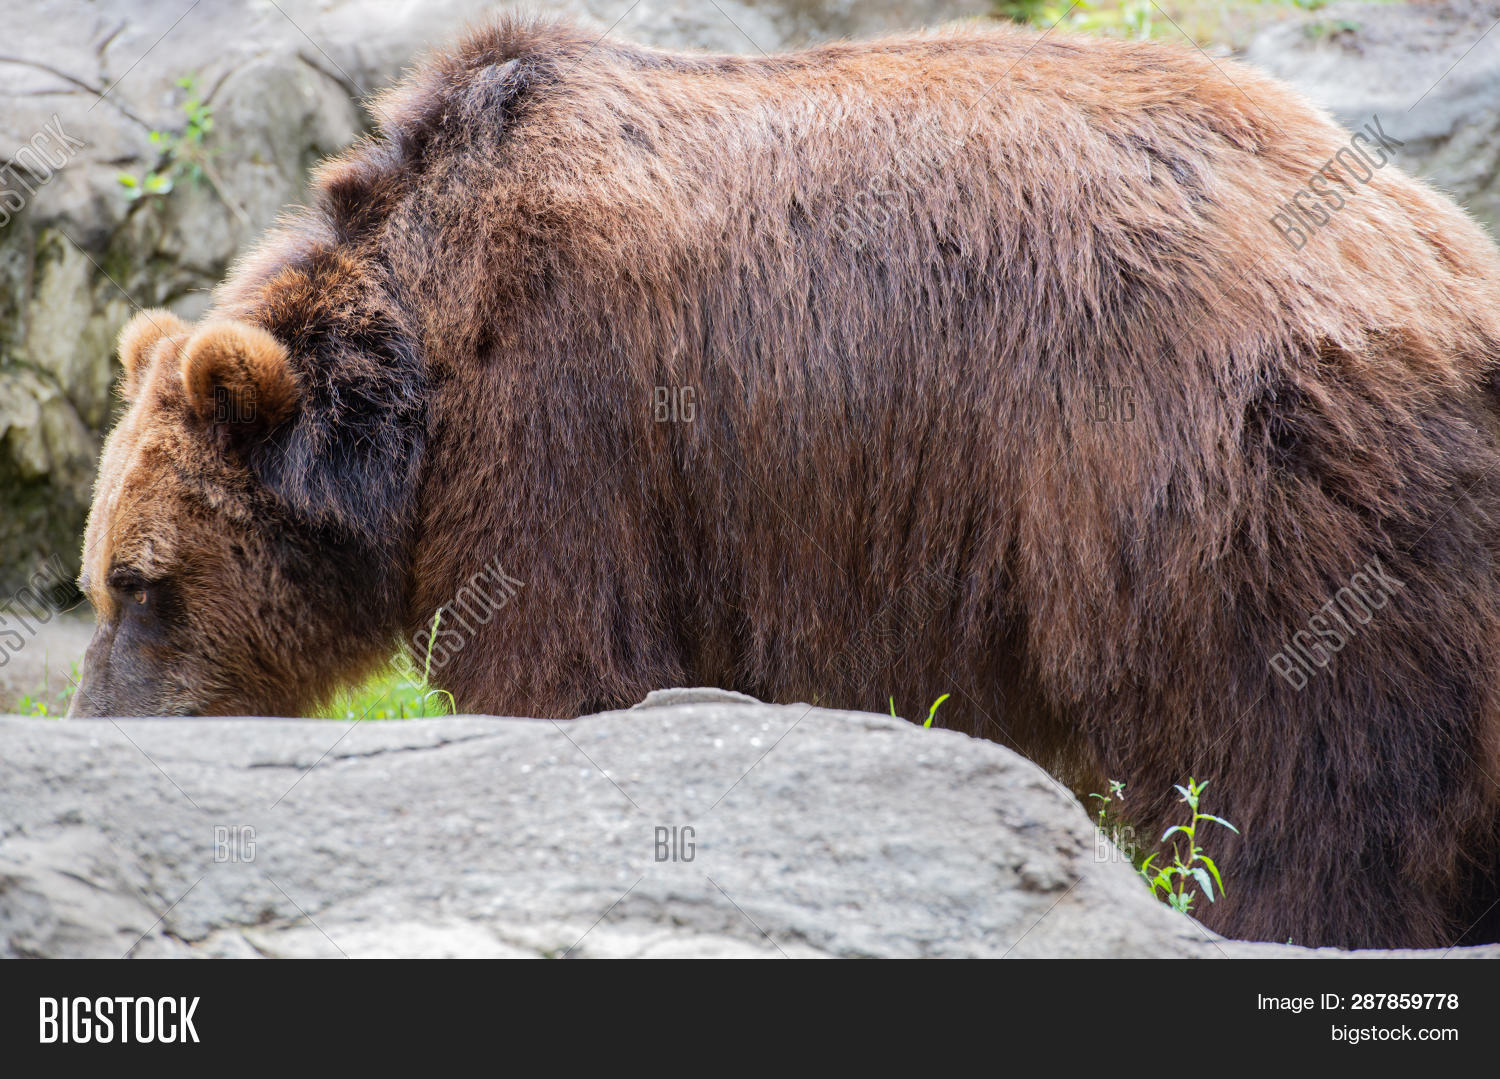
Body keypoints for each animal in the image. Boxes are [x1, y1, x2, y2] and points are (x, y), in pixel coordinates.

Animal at [69, 16, 1500, 950]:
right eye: (97, 580)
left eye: (140, 582)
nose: (97, 726)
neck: (416, 372)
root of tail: (1448, 261)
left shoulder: (568, 417)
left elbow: (556, 660)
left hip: (1223, 479)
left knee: (1302, 757)